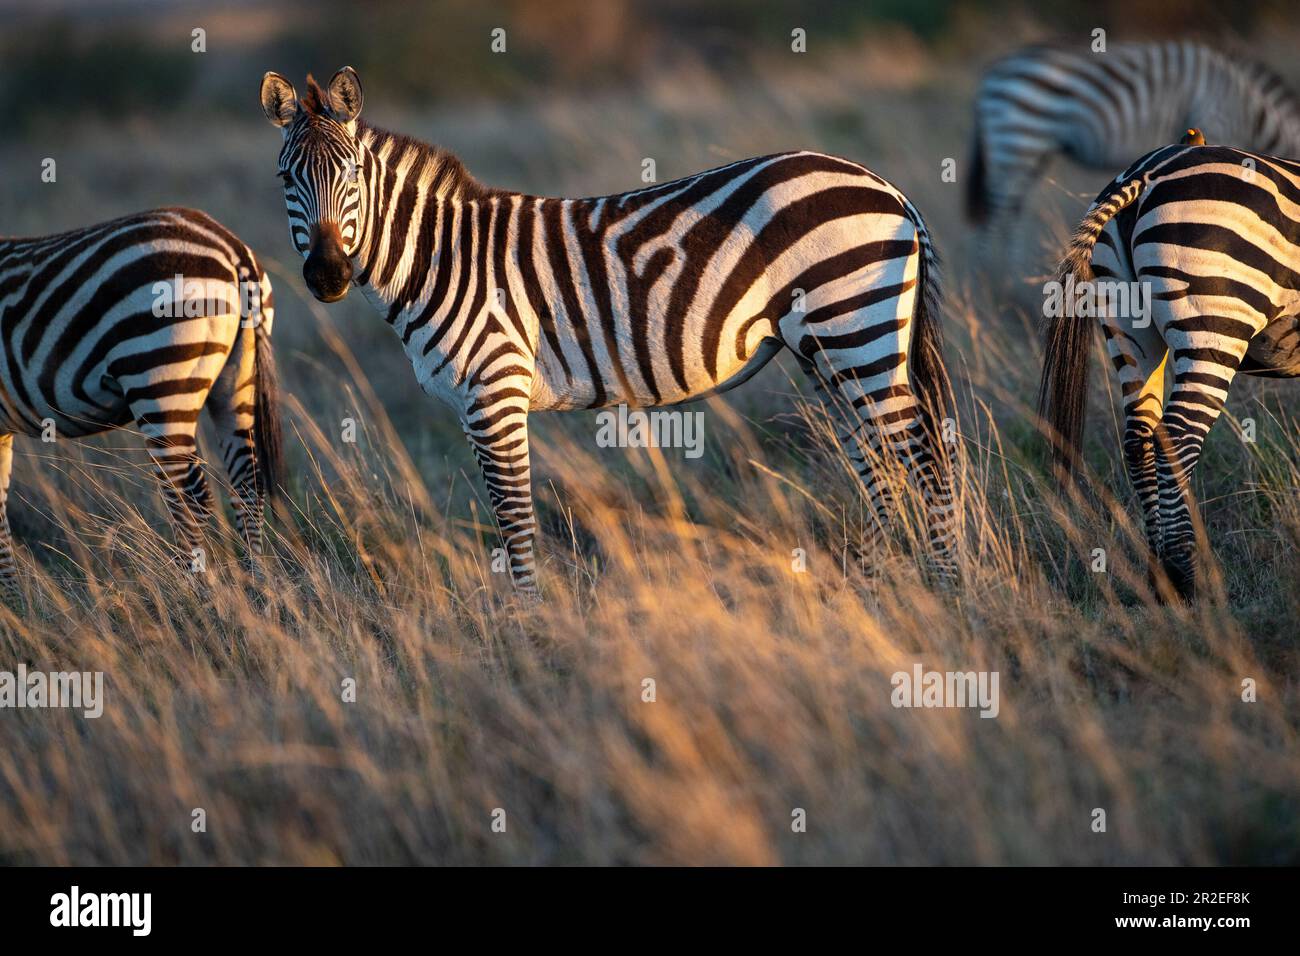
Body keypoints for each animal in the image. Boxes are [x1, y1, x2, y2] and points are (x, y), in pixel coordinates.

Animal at [0, 207, 283, 599]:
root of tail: (232, 249)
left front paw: (13, 607)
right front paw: (15, 602)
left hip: (159, 379)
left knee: (192, 498)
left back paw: (189, 595)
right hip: (237, 386)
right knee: (247, 485)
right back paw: (259, 593)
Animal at [259, 67, 957, 595]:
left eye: (352, 174)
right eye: (286, 179)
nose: (326, 275)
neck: (440, 257)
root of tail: (887, 187)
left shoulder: (493, 391)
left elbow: (515, 521)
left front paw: (531, 633)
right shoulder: (475, 403)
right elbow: (508, 517)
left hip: (854, 327)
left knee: (923, 458)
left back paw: (946, 590)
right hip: (831, 349)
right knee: (881, 466)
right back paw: (880, 589)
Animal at [968, 40, 1300, 232]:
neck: (1250, 109)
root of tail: (993, 73)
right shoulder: (1215, 120)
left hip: (1030, 149)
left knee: (1009, 214)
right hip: (1019, 139)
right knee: (997, 218)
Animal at [1039, 140, 1300, 599]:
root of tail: (1146, 172)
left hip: (1128, 325)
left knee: (1139, 438)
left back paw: (1158, 578)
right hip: (1215, 321)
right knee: (1176, 439)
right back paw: (1184, 581)